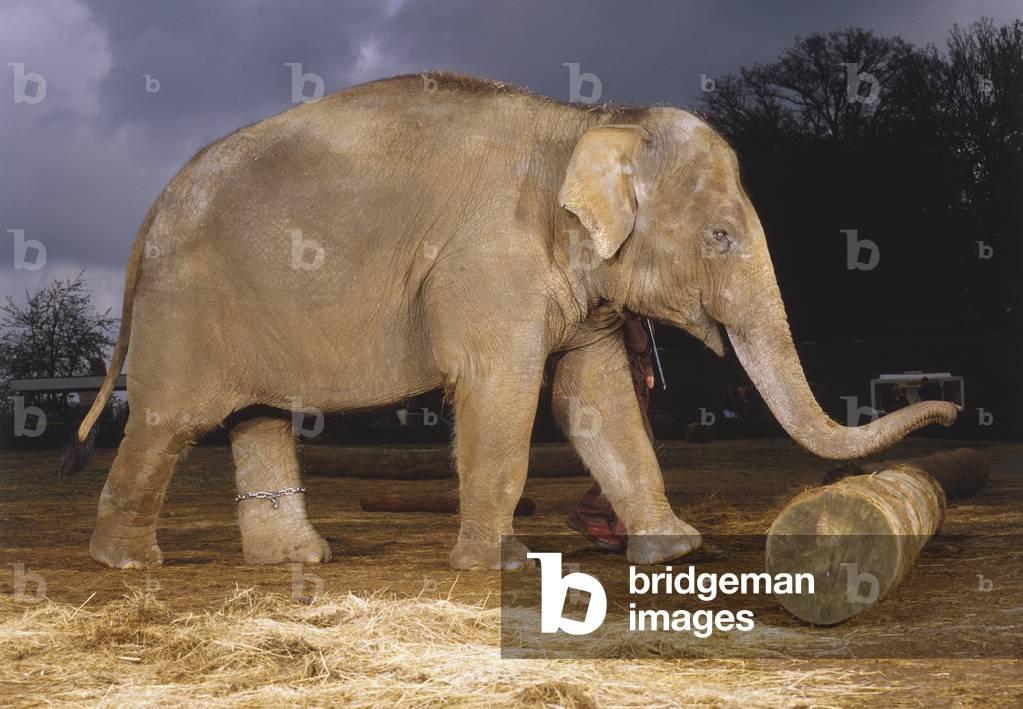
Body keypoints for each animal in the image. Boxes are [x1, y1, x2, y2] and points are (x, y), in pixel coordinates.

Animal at [75, 72, 958, 570]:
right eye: (719, 237)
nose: (950, 408)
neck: (589, 123)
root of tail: (153, 207)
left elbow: (595, 397)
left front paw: (676, 547)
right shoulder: (487, 263)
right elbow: (503, 388)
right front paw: (497, 566)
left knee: (259, 417)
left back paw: (298, 561)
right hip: (187, 306)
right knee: (169, 420)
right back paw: (129, 565)